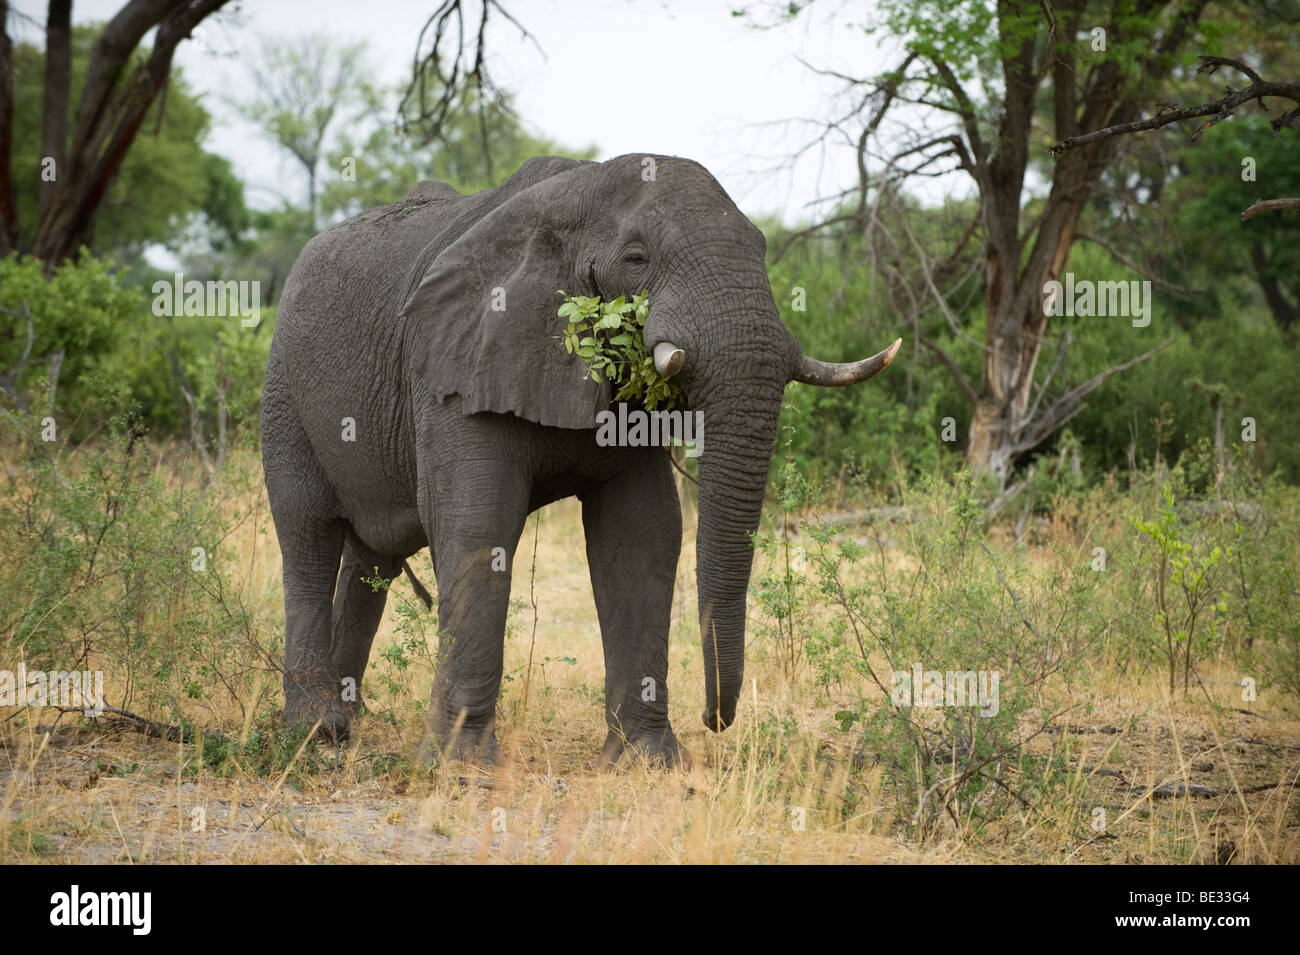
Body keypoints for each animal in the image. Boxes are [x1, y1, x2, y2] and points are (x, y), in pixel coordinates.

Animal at [260, 153, 900, 767]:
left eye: (763, 250)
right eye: (637, 258)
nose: (715, 720)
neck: (574, 197)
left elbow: (642, 532)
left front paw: (648, 763)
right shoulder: (455, 366)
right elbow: (478, 524)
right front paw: (458, 768)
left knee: (372, 557)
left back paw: (349, 720)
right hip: (282, 383)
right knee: (308, 535)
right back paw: (317, 730)